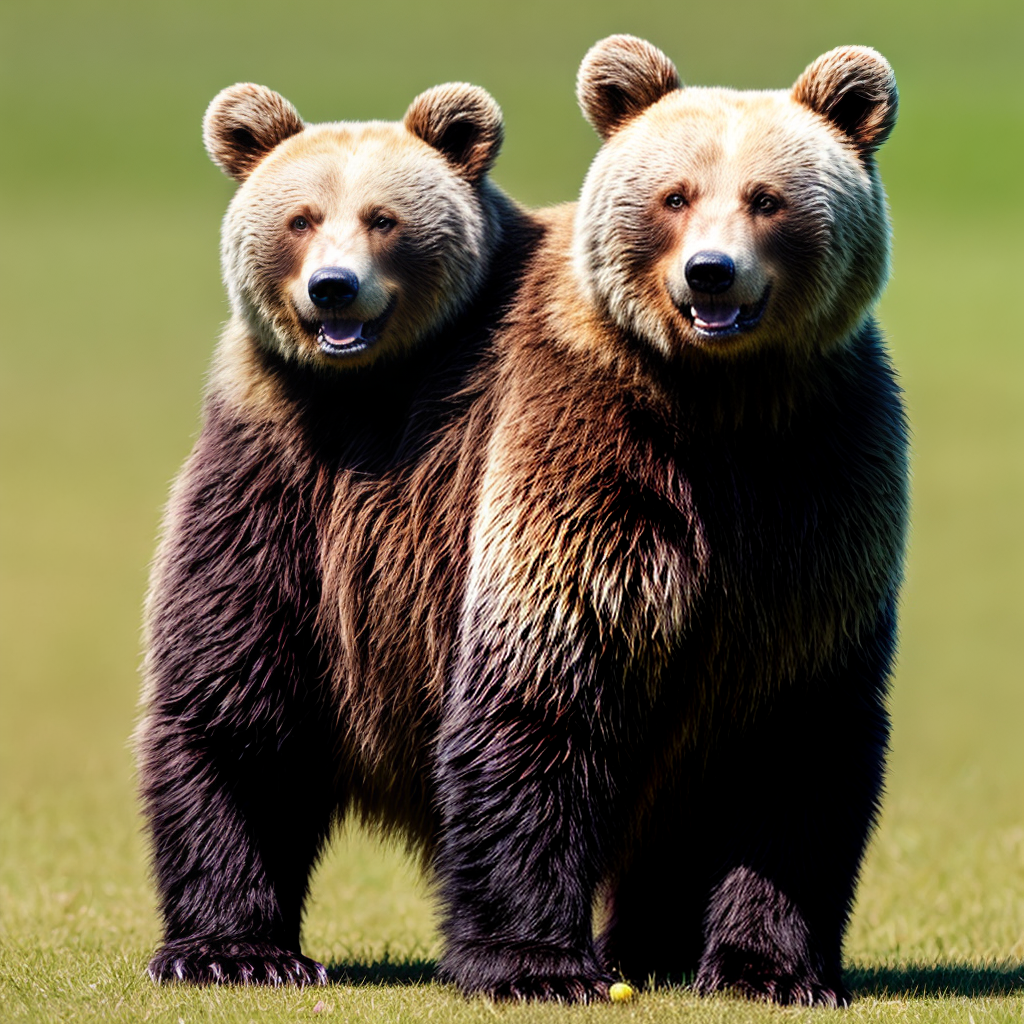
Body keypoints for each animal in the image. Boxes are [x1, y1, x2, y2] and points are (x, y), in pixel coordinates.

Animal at [138, 79, 540, 985]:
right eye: (301, 217)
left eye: (383, 218)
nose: (333, 288)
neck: (367, 394)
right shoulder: (270, 467)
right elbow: (231, 692)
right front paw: (233, 952)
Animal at [428, 35, 907, 1005]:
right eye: (675, 195)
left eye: (767, 197)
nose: (710, 271)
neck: (722, 403)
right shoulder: (593, 459)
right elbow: (543, 695)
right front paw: (534, 963)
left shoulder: (826, 486)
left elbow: (798, 735)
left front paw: (771, 968)